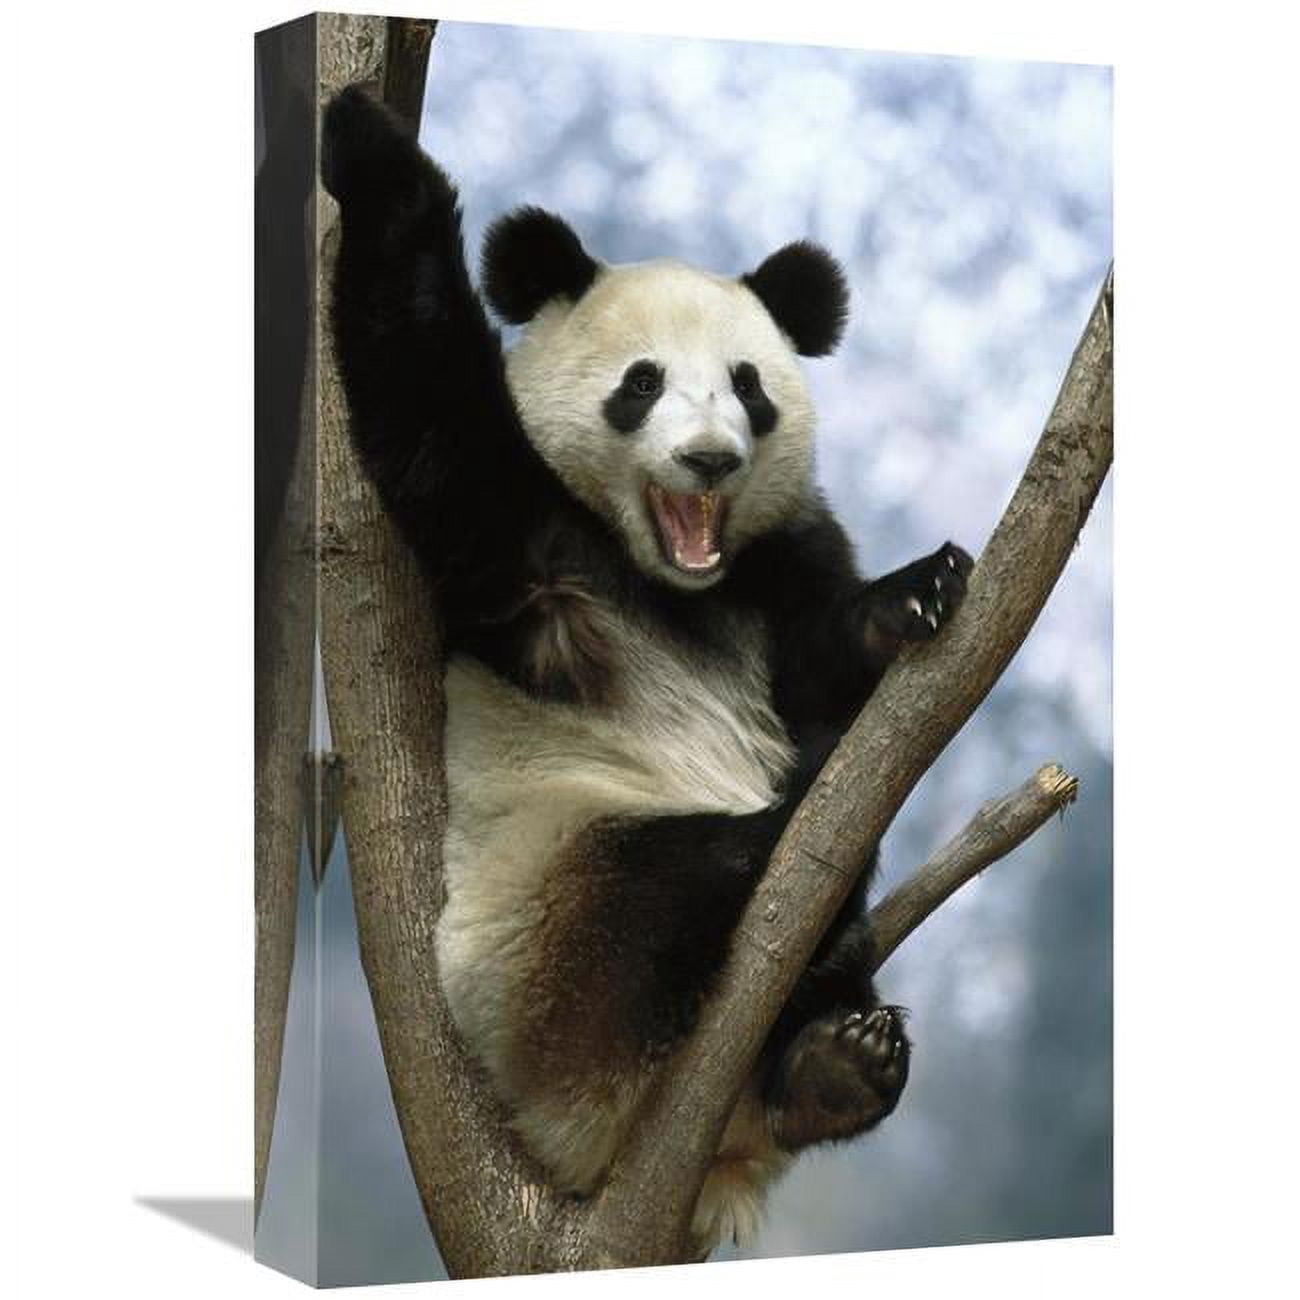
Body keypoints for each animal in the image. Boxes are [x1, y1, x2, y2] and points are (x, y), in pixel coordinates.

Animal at [322, 85, 973, 1250]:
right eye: (642, 384)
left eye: (749, 388)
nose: (709, 460)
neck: (670, 577)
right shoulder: (527, 549)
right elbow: (429, 407)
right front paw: (374, 152)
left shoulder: (780, 560)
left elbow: (822, 665)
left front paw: (916, 595)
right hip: (545, 925)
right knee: (679, 883)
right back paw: (802, 833)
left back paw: (830, 1066)